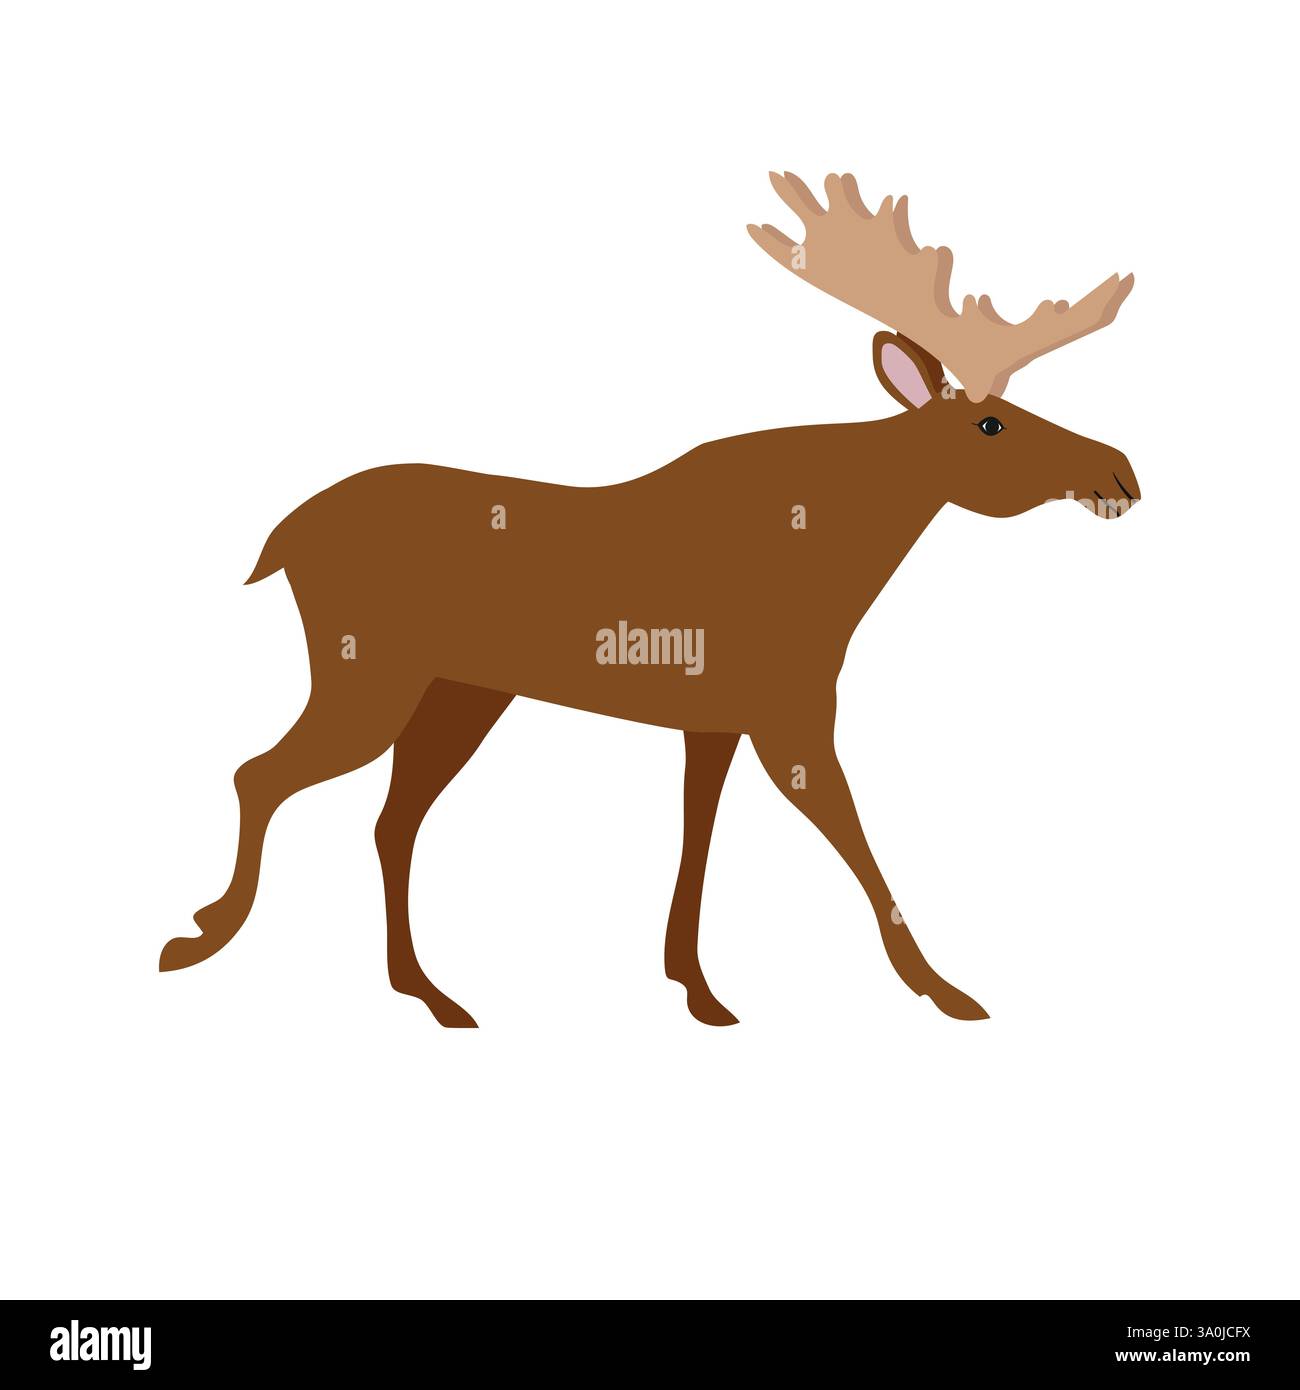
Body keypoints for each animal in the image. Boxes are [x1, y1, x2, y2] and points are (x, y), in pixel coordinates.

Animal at [162, 171, 1138, 1028]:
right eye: (990, 423)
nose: (1120, 471)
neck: (843, 561)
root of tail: (280, 541)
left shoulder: (715, 718)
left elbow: (695, 838)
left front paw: (697, 988)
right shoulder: (791, 716)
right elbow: (855, 841)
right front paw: (946, 991)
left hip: (459, 694)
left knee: (389, 819)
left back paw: (431, 994)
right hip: (369, 676)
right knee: (261, 774)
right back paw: (203, 935)